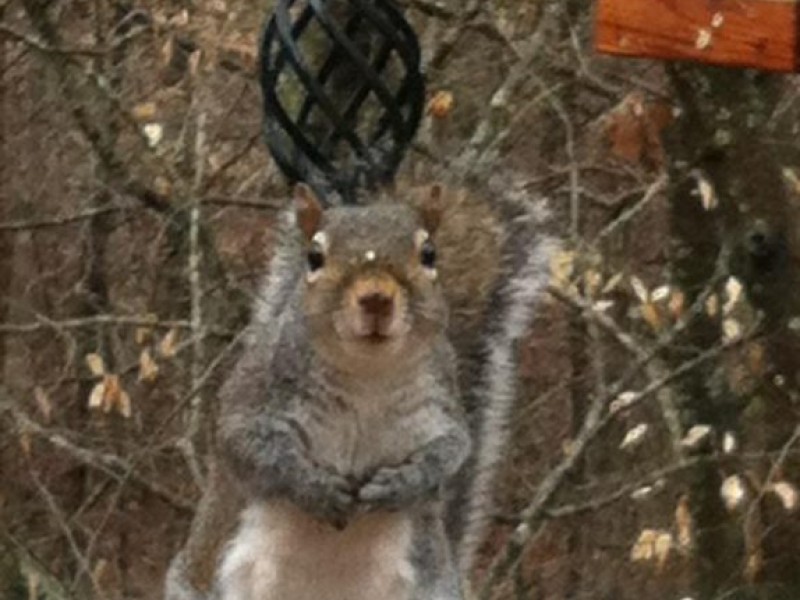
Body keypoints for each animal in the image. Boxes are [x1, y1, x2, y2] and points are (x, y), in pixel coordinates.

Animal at [164, 177, 554, 600]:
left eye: (429, 254)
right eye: (314, 257)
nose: (376, 297)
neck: (368, 371)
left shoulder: (441, 407)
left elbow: (451, 452)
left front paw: (403, 483)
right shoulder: (255, 396)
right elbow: (251, 447)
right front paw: (313, 486)